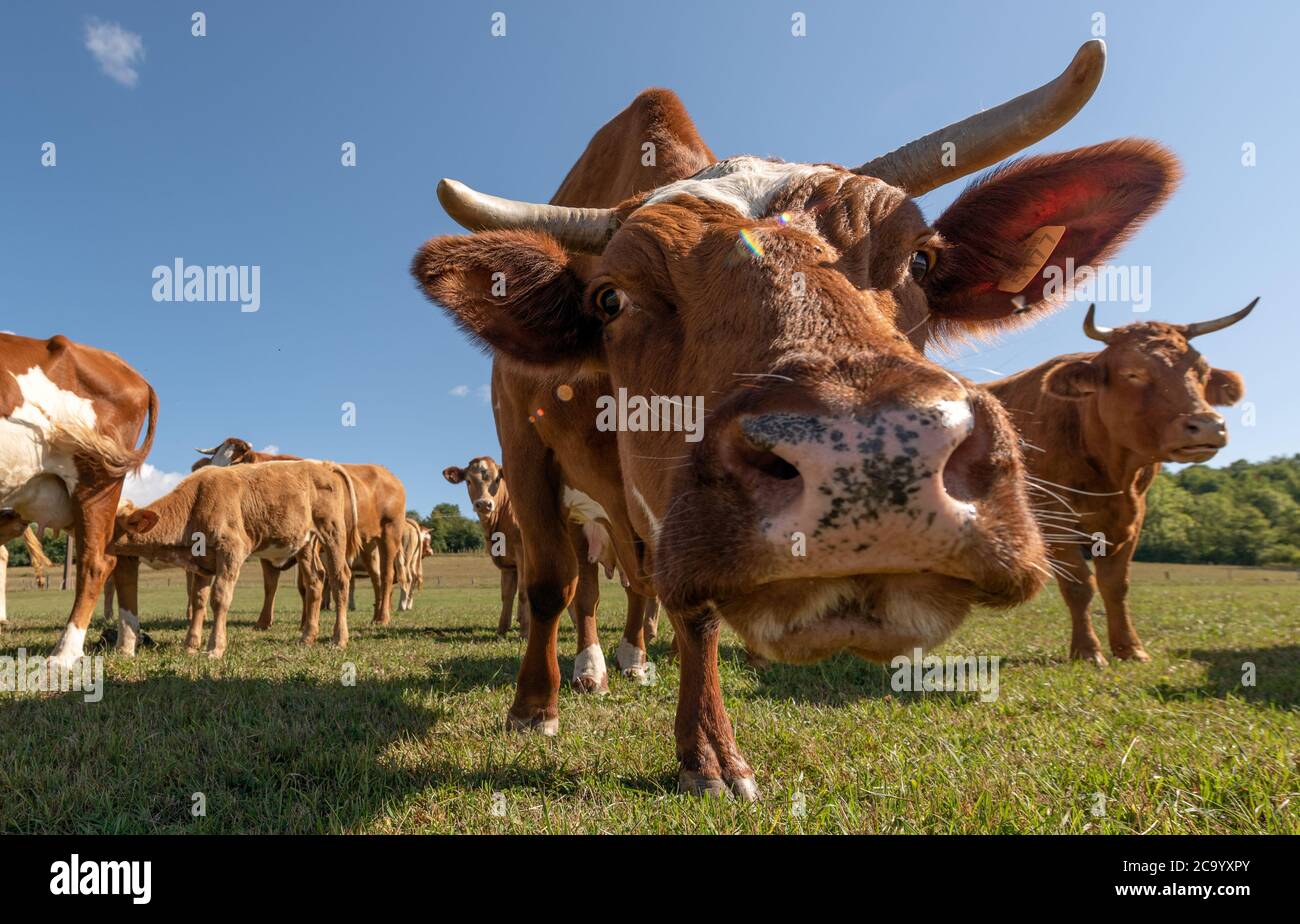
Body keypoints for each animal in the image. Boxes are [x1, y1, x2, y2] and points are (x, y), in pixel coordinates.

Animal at [109, 460, 359, 657]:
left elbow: (220, 597)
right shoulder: (202, 562)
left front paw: (215, 648)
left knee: (340, 579)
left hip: (333, 531)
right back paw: (307, 637)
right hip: (305, 543)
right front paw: (190, 645)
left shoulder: (231, 550)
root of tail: (321, 464)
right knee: (315, 580)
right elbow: (199, 600)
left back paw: (339, 639)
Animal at [191, 438, 407, 627]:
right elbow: (271, 585)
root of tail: (387, 474)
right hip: (368, 545)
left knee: (387, 575)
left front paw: (306, 622)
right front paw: (264, 622)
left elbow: (305, 585)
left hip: (390, 534)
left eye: (234, 466)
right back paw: (377, 614)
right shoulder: (267, 550)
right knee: (376, 578)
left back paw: (383, 617)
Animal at [412, 40, 1181, 797]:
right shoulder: (522, 445)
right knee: (590, 585)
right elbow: (551, 585)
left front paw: (709, 753)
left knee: (635, 583)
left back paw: (629, 659)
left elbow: (690, 609)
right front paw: (532, 709)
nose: (869, 460)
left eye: (922, 259)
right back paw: (592, 666)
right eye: (610, 299)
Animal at [987, 301, 1254, 666]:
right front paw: (1088, 651)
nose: (1208, 426)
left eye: (1202, 372)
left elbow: (1116, 585)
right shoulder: (1053, 520)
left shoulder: (1131, 520)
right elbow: (1079, 585)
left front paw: (1130, 648)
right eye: (1133, 372)